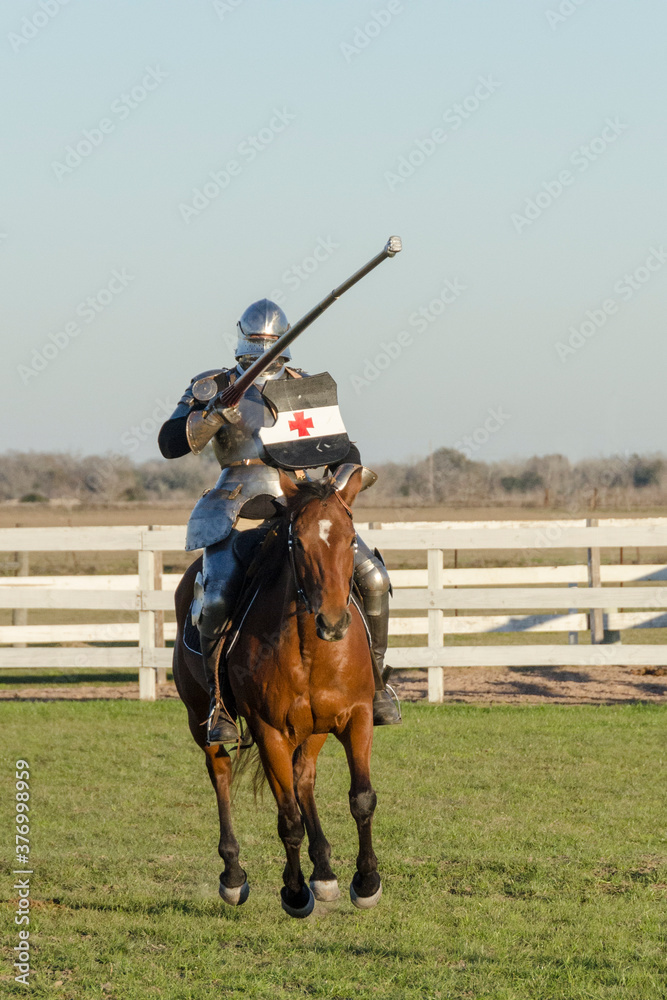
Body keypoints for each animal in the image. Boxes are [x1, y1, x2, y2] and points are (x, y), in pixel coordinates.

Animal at [172, 466, 383, 917]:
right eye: (297, 542)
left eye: (350, 539)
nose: (334, 621)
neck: (310, 648)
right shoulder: (268, 730)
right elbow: (288, 818)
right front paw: (295, 891)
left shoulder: (356, 718)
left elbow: (361, 798)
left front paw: (366, 881)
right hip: (202, 720)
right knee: (221, 773)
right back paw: (234, 875)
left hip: (314, 728)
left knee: (304, 777)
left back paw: (324, 871)